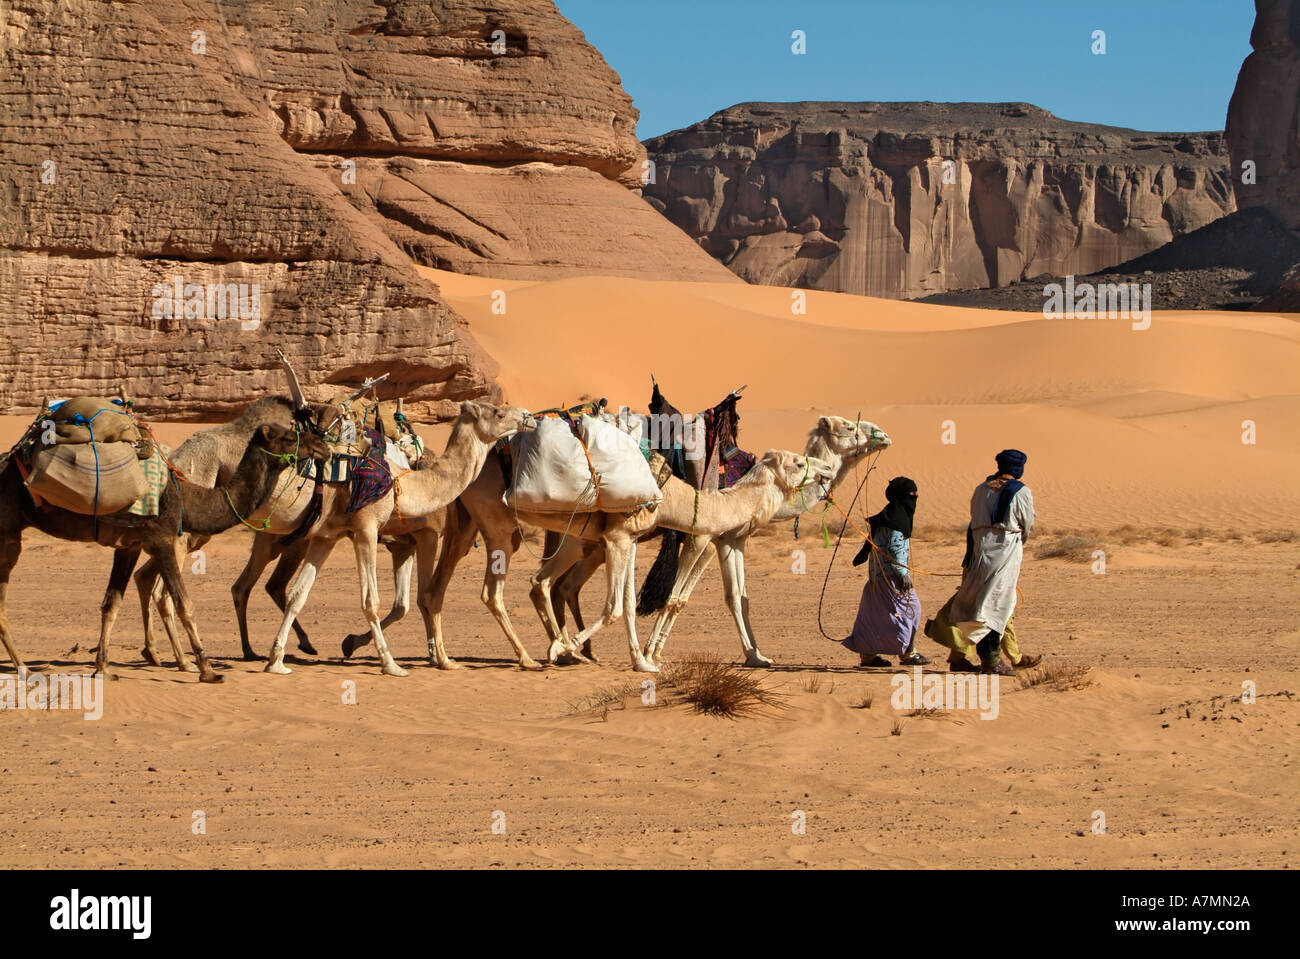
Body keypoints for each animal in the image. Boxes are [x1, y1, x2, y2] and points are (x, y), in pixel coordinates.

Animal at [0, 421, 328, 682]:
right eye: (288, 437)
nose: (322, 445)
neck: (187, 498)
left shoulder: (130, 544)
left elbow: (111, 603)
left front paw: (103, 668)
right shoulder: (162, 538)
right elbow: (185, 604)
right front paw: (207, 669)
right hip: (8, 535)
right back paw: (23, 669)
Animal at [257, 401, 536, 676]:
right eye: (499, 413)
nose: (529, 417)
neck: (403, 483)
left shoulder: (331, 535)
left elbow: (299, 595)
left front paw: (277, 659)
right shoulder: (373, 529)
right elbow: (377, 600)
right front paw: (395, 662)